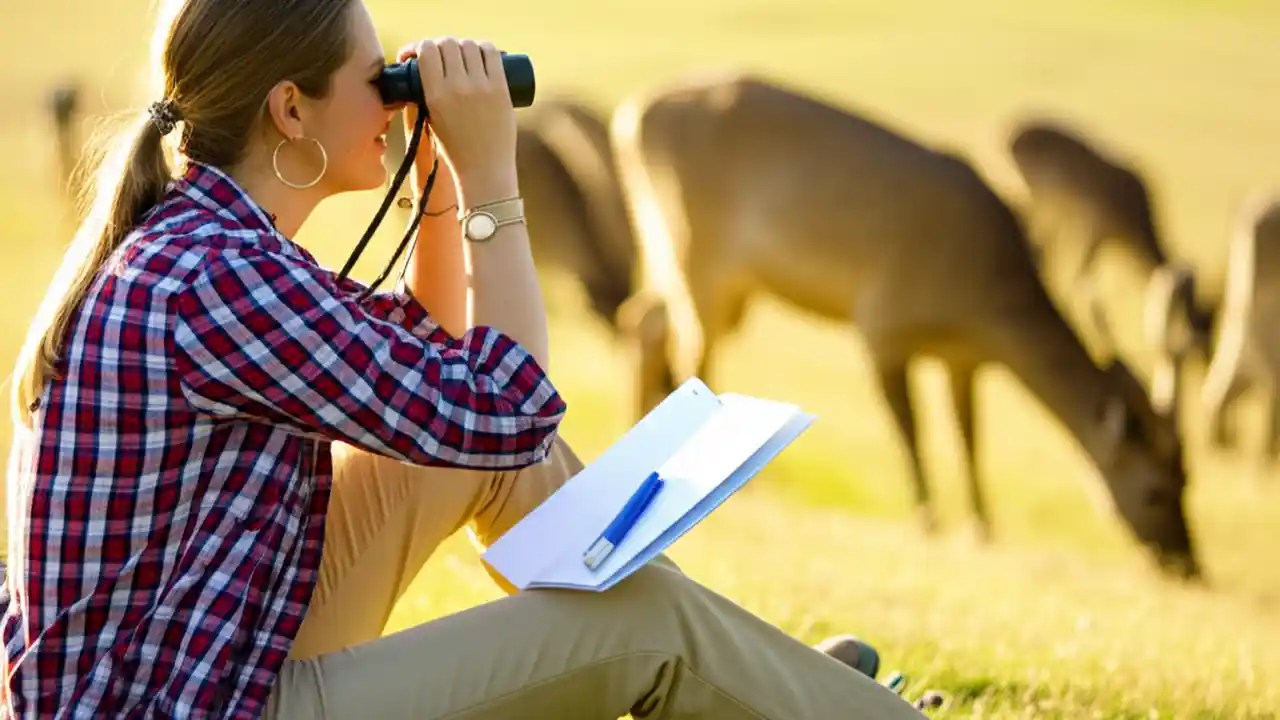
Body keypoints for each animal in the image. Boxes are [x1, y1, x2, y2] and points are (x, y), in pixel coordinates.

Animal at [1008, 120, 1216, 417]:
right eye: (1180, 347)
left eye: (1208, 340)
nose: (1172, 399)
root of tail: (1015, 134)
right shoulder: (1087, 240)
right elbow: (1088, 296)